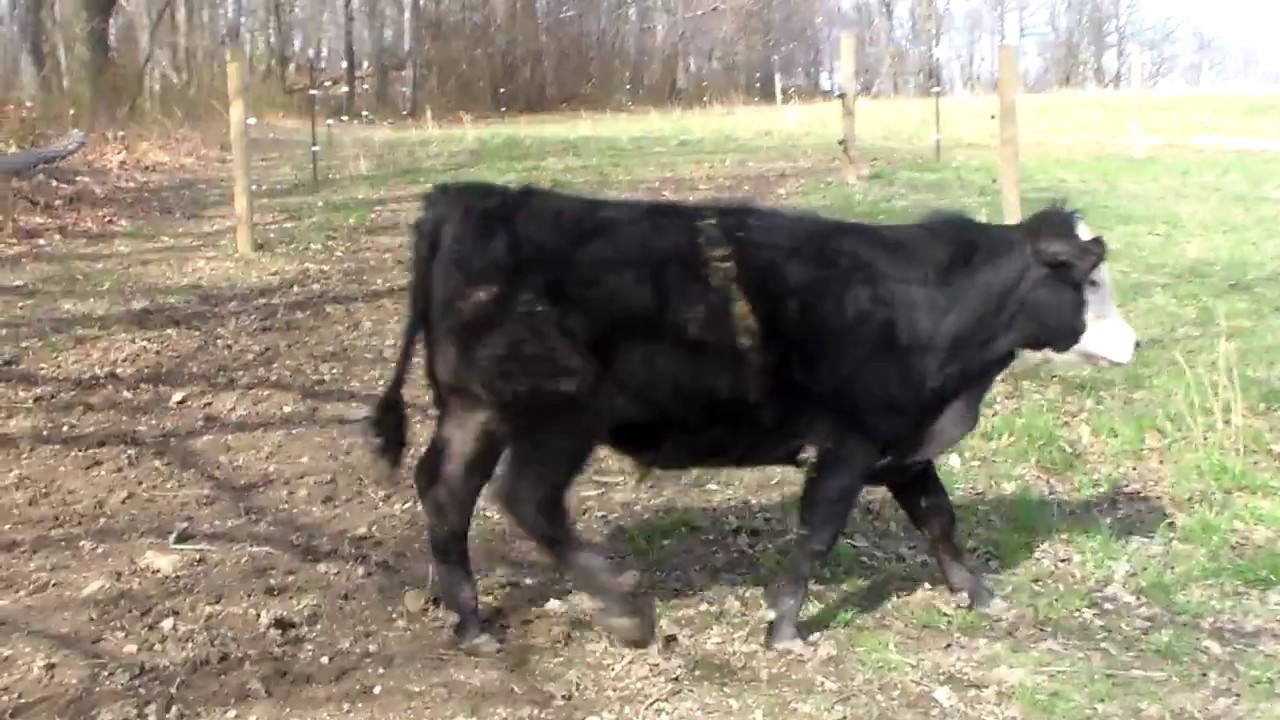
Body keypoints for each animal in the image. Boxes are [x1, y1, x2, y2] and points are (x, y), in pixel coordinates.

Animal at [369, 181, 1113, 655]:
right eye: (1089, 279)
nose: (1130, 343)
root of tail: (467, 196)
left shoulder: (904, 447)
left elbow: (939, 520)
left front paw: (978, 593)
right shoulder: (848, 445)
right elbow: (818, 535)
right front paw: (784, 633)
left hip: (475, 412)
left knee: (446, 494)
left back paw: (472, 625)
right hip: (558, 417)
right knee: (526, 499)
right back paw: (625, 613)